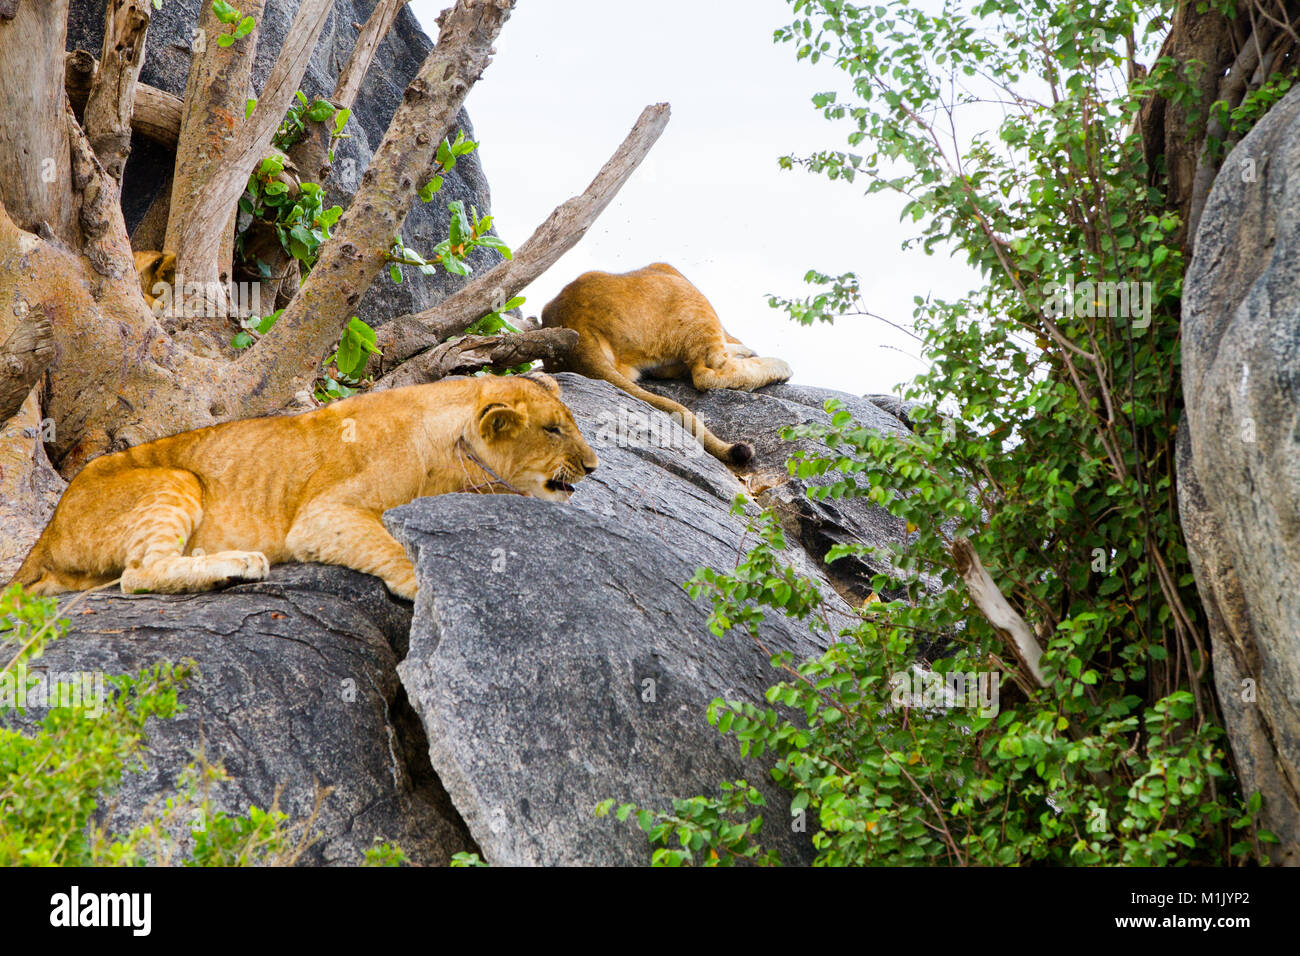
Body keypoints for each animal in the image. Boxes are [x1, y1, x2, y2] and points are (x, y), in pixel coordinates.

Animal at [11, 373, 597, 600]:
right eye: (553, 429)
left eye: (569, 422)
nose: (593, 466)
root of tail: (44, 536)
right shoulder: (321, 517)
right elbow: (389, 545)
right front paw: (422, 588)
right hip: (174, 477)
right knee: (137, 575)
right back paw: (237, 565)